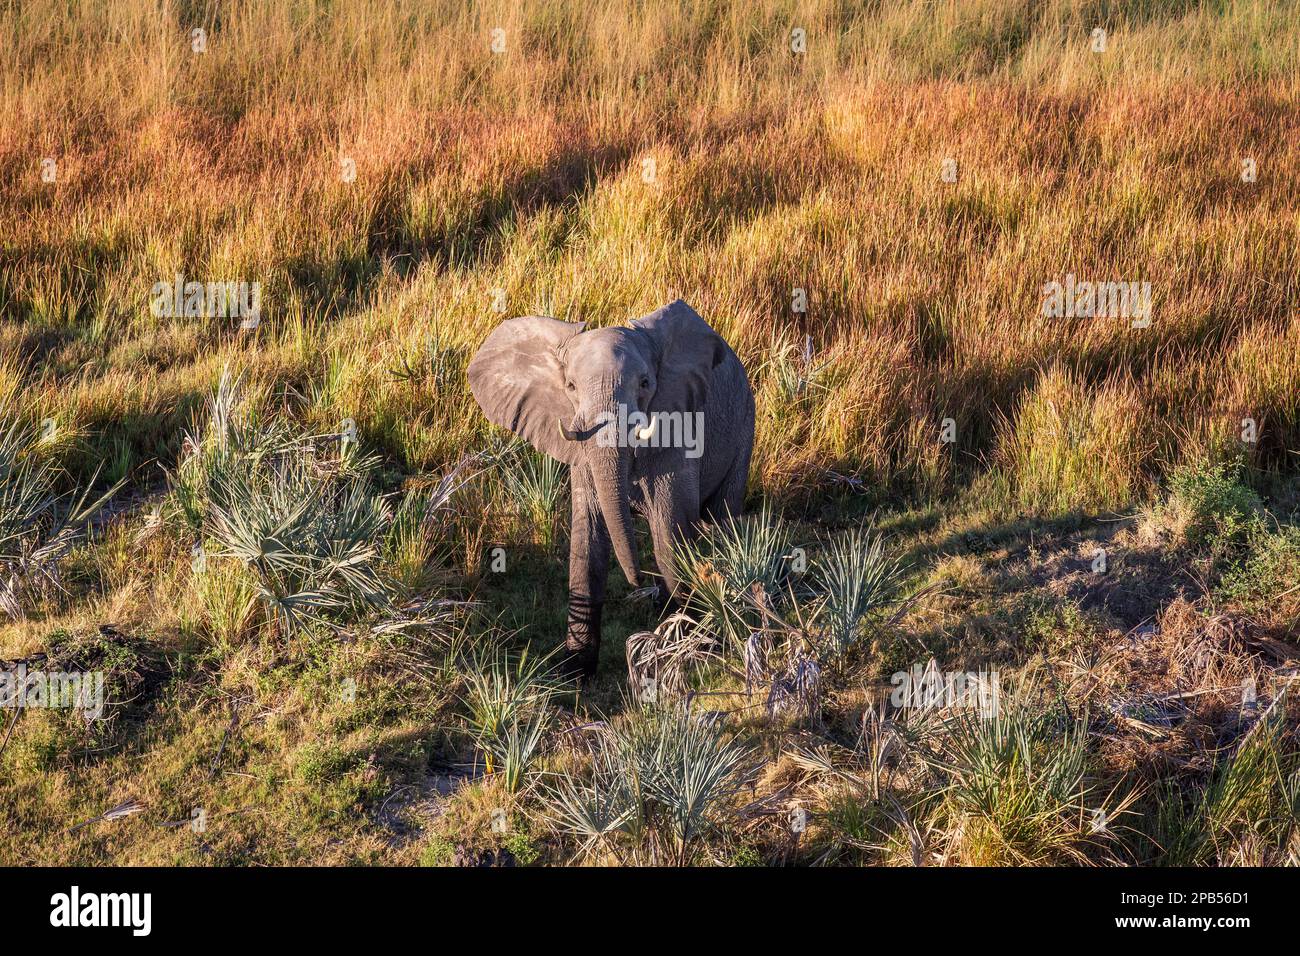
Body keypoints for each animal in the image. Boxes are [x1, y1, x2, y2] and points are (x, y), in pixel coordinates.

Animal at [467, 299, 755, 679]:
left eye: (645, 383)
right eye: (570, 386)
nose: (636, 580)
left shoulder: (676, 424)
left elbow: (669, 532)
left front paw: (687, 650)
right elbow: (588, 538)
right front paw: (575, 671)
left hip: (744, 422)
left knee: (723, 517)